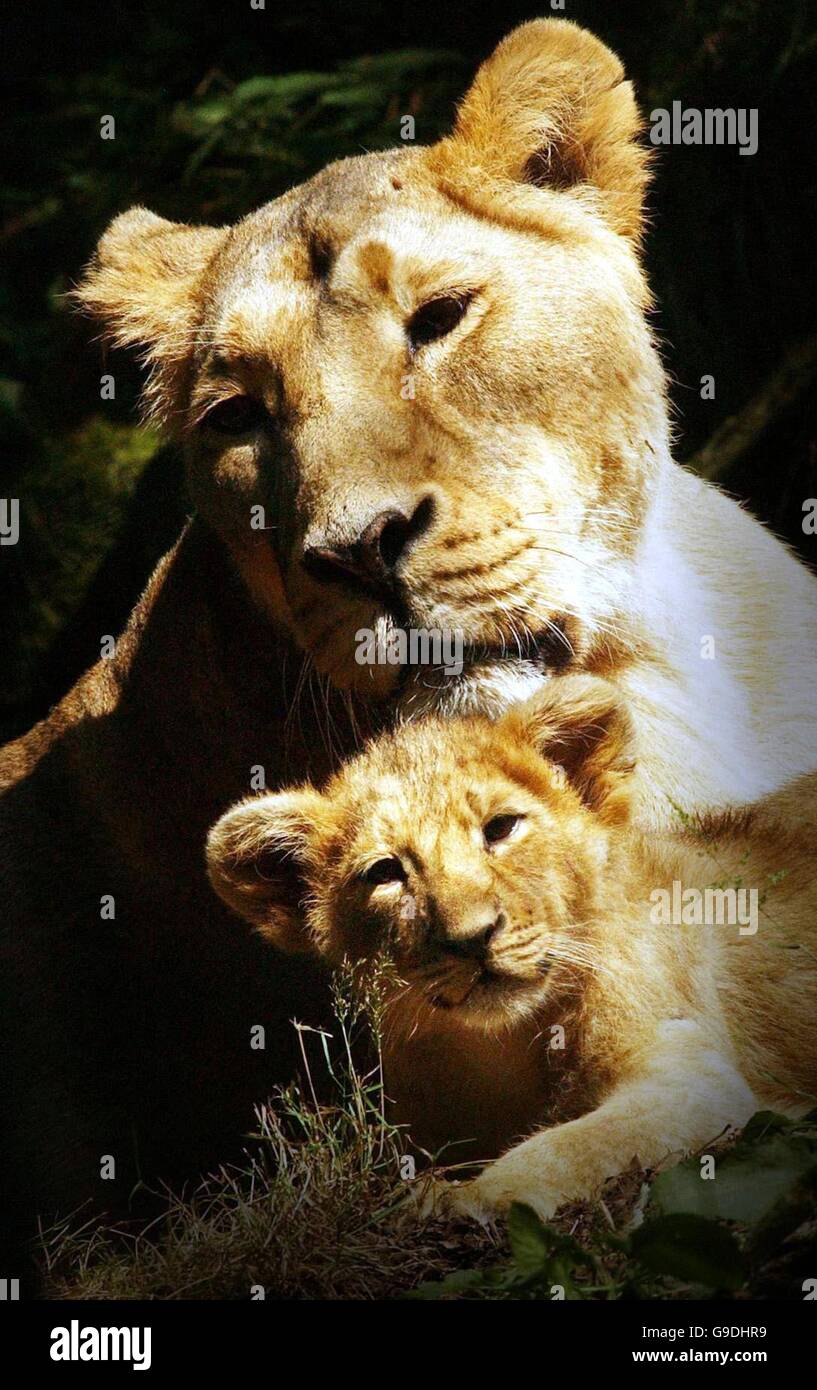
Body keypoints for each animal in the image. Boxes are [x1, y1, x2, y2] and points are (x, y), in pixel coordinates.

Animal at [206, 675, 817, 1219]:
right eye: (385, 873)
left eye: (501, 827)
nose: (472, 937)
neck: (500, 1051)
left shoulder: (695, 1085)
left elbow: (568, 1148)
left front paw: (466, 1199)